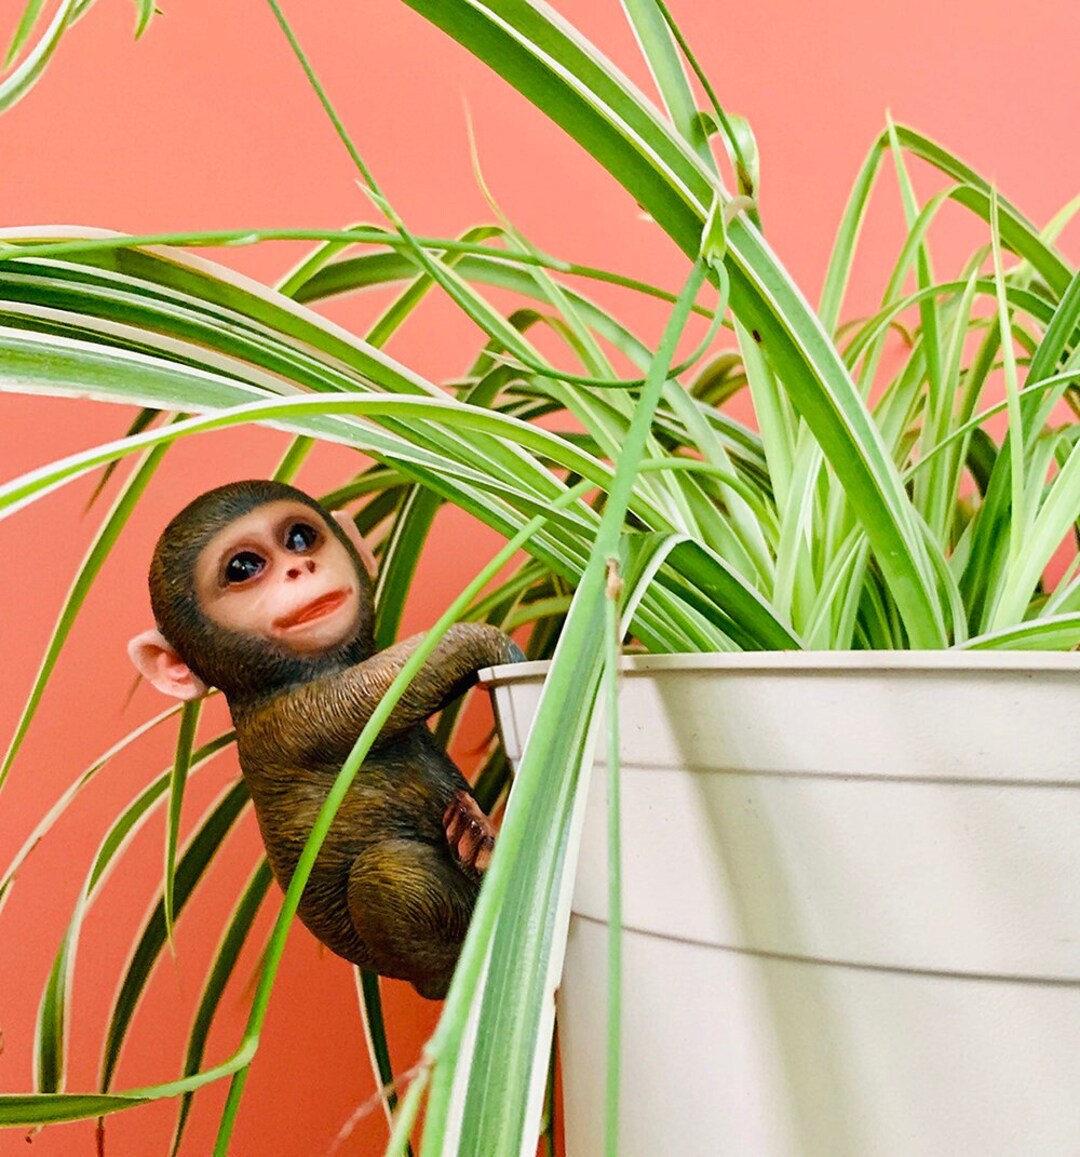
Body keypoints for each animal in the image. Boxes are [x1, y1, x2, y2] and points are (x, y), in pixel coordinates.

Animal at [129, 480, 523, 999]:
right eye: (242, 568)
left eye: (300, 537)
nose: (300, 567)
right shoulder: (292, 720)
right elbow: (380, 693)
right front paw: (495, 645)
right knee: (390, 878)